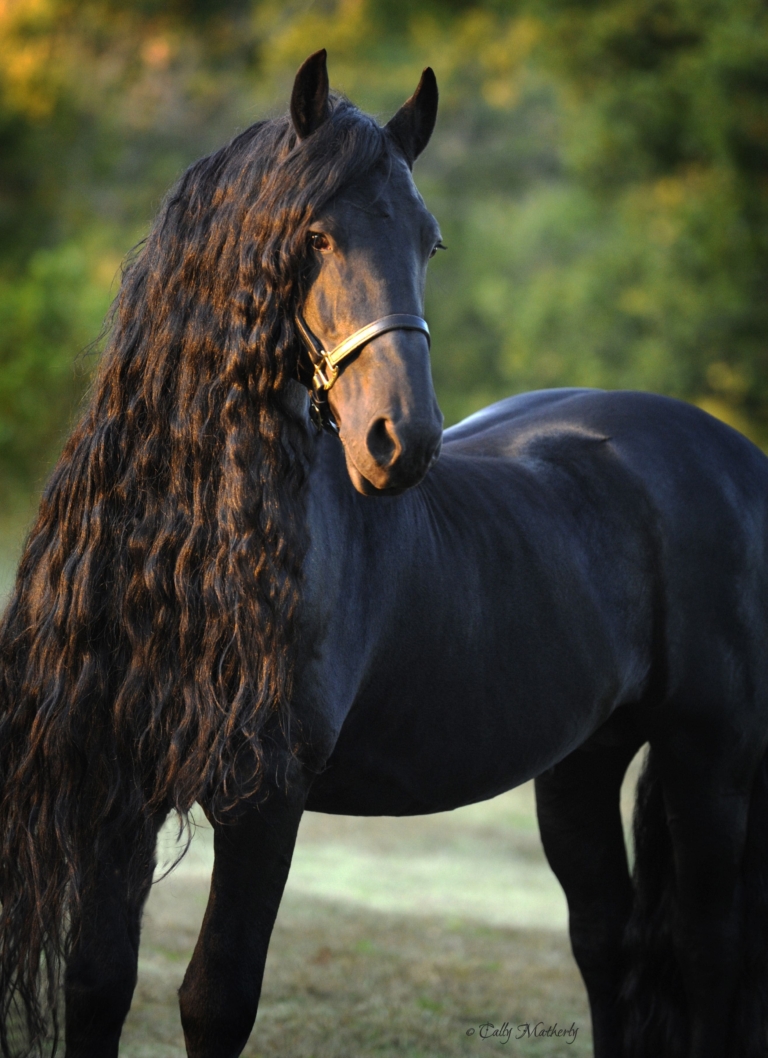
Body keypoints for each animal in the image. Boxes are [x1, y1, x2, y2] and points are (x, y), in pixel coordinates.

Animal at [0, 46, 767, 1058]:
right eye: (316, 235)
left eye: (429, 244)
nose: (402, 441)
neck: (189, 551)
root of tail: (736, 456)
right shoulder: (114, 787)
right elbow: (96, 984)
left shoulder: (264, 800)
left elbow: (216, 1000)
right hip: (585, 763)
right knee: (610, 943)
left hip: (709, 758)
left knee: (714, 953)